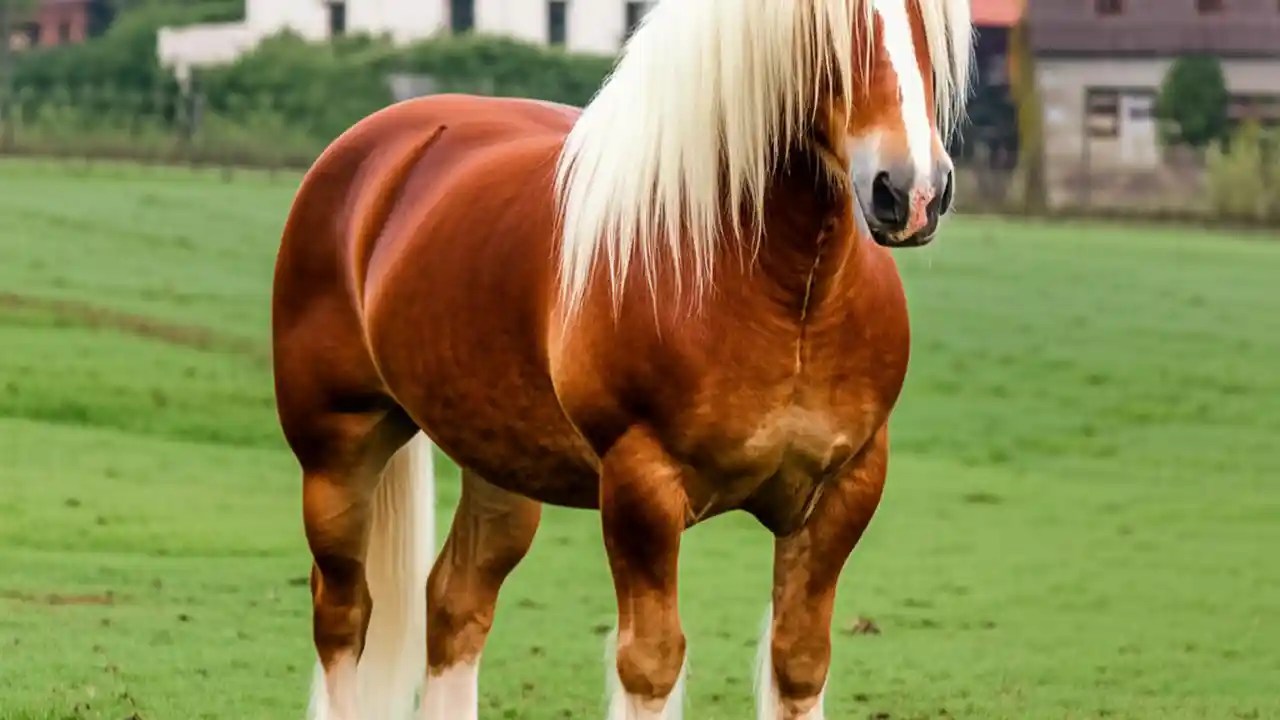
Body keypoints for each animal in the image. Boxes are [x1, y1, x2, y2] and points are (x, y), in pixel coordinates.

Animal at [270, 0, 973, 718]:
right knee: (343, 614)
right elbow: (651, 663)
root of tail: (377, 149)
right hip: (338, 452)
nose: (911, 192)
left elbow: (800, 662)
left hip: (500, 469)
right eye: (828, 33)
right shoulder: (642, 486)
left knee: (455, 605)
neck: (781, 293)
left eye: (927, 22)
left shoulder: (845, 490)